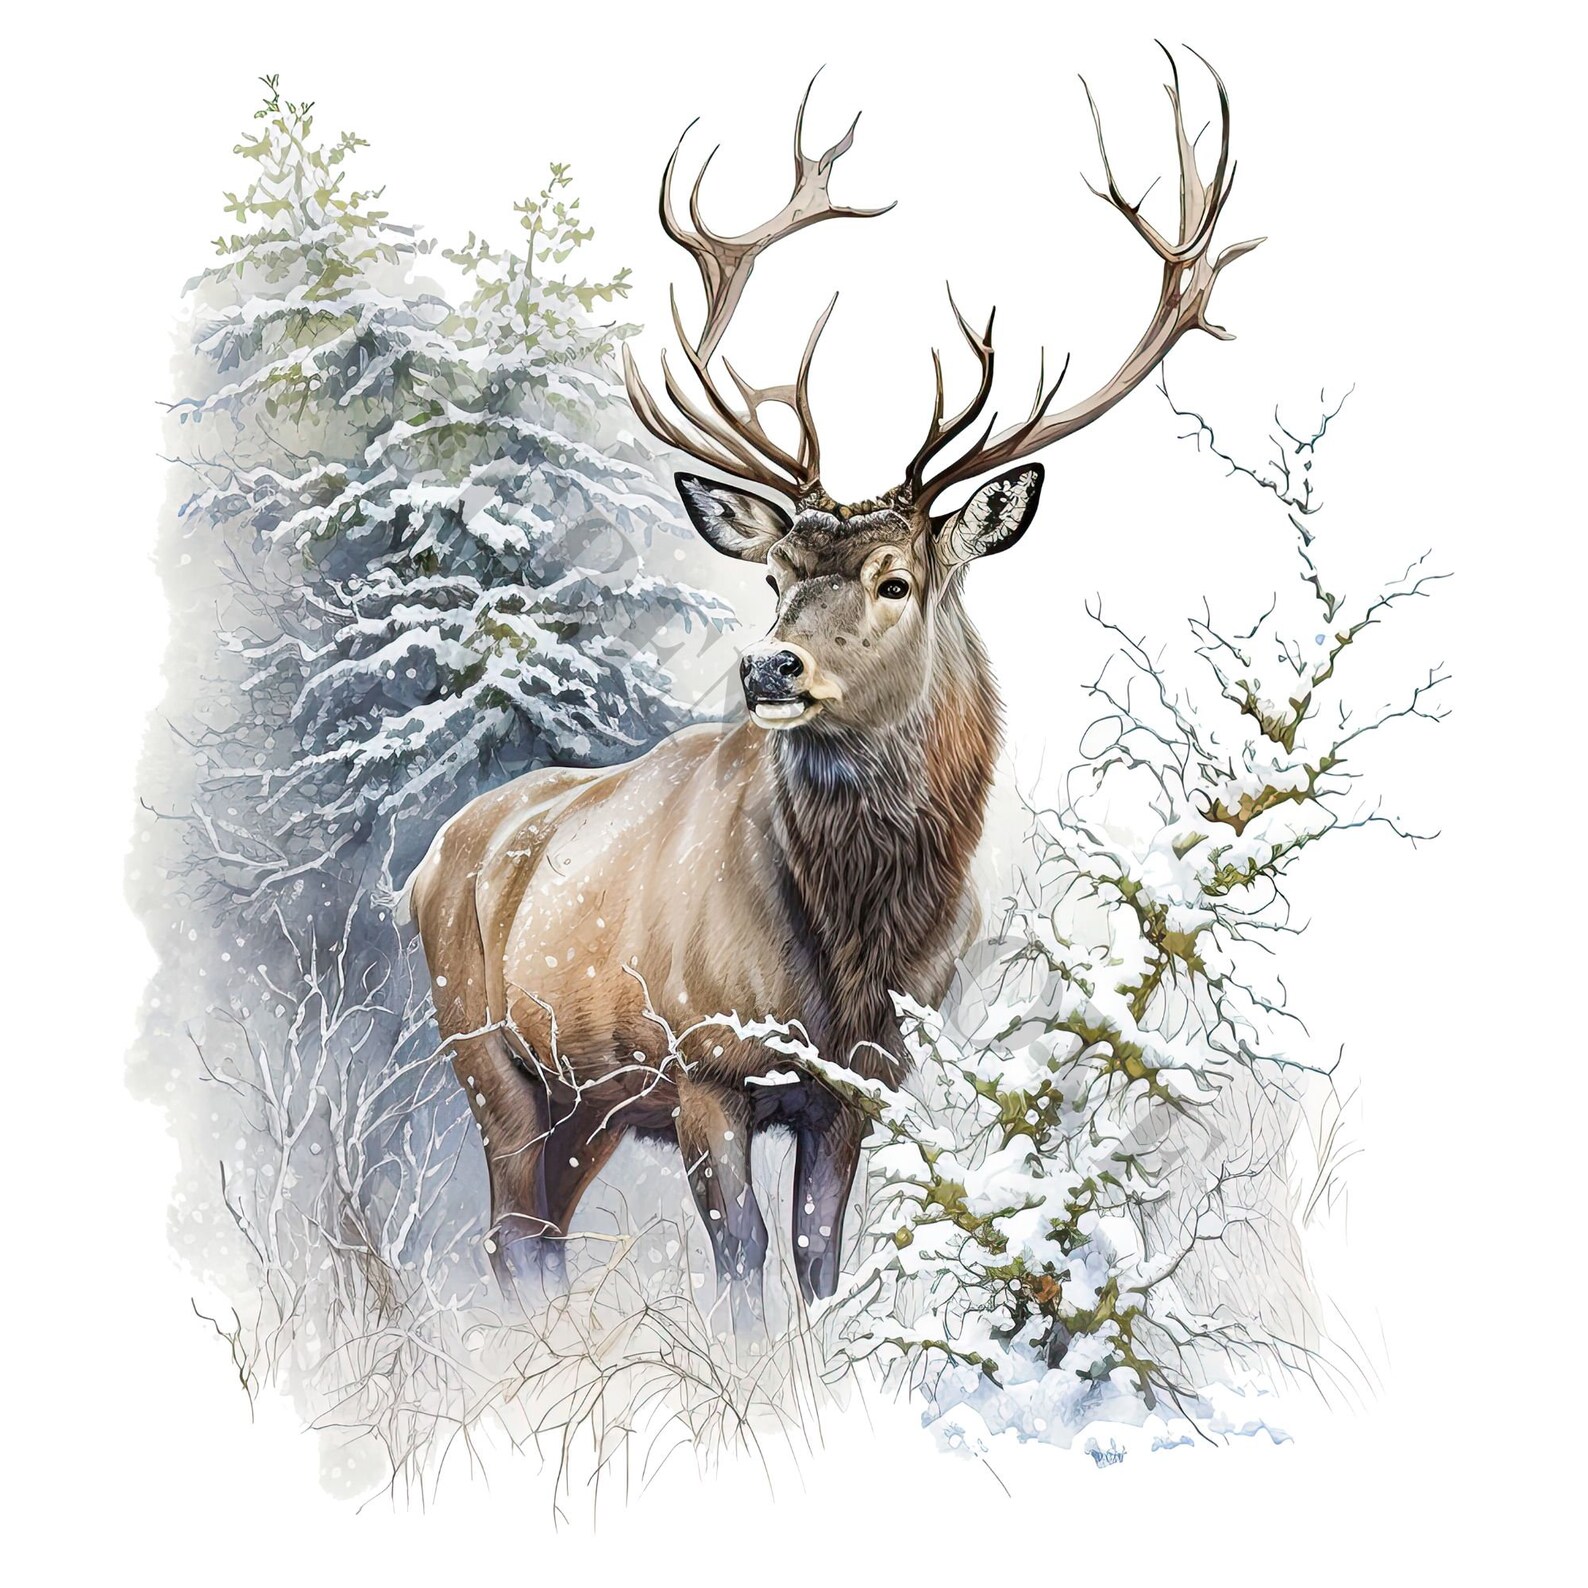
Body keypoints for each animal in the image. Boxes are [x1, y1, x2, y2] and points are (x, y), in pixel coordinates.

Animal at [405, 48, 1259, 1332]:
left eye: (894, 577)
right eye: (771, 573)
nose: (769, 665)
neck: (848, 951)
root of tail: (424, 859)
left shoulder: (865, 1077)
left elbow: (818, 1254)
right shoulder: (700, 1057)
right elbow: (744, 1255)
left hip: (587, 1103)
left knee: (537, 1231)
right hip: (489, 1051)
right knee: (512, 1232)